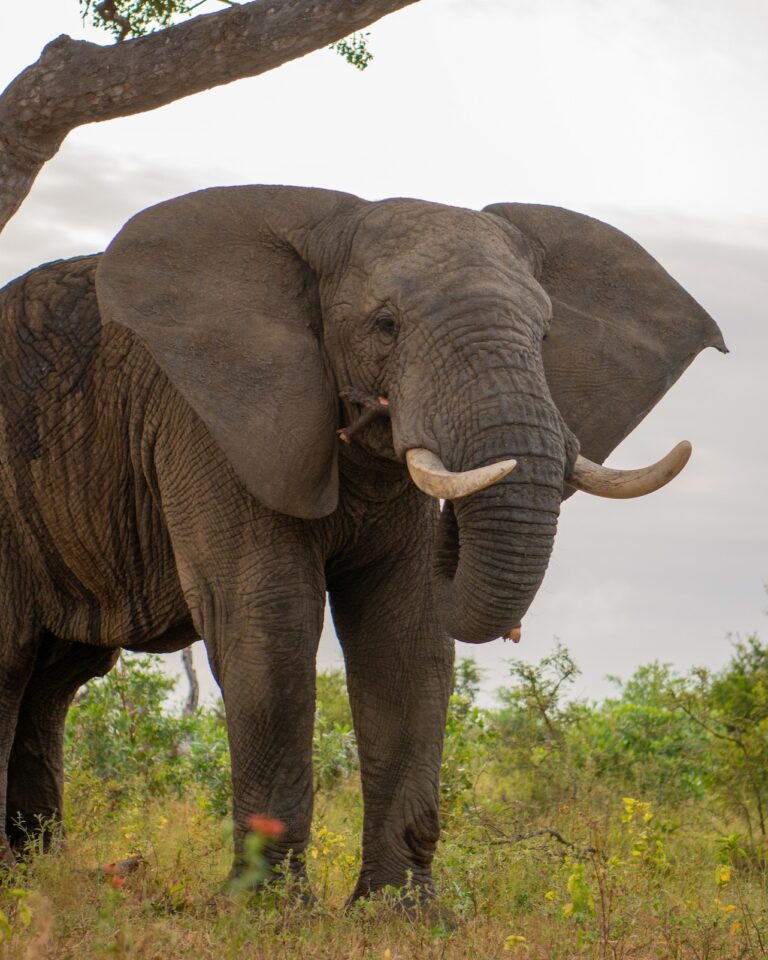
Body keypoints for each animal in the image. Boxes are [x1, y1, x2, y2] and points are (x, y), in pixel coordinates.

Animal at [0, 185, 725, 899]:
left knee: (54, 680)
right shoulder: (206, 422)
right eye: (386, 325)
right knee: (15, 661)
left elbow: (403, 632)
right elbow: (271, 621)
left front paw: (399, 913)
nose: (454, 527)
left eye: (545, 334)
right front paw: (266, 912)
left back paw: (34, 877)